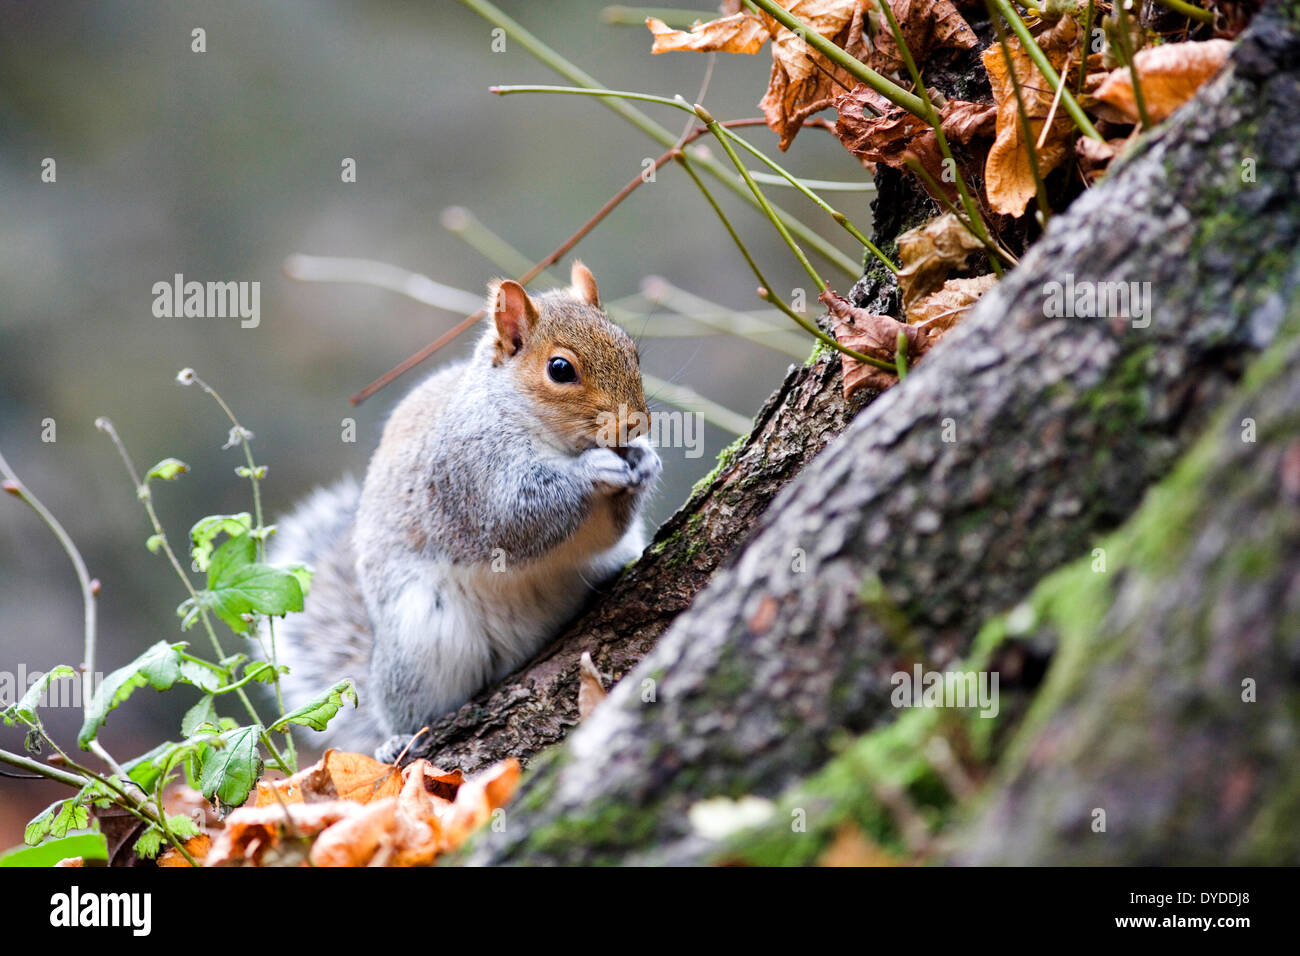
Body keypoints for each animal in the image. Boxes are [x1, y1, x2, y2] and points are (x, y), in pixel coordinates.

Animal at [270, 262, 661, 754]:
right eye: (560, 369)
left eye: (633, 352)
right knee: (405, 707)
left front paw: (645, 461)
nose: (635, 426)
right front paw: (592, 470)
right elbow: (514, 519)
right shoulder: (465, 475)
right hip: (420, 640)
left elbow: (603, 531)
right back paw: (395, 740)